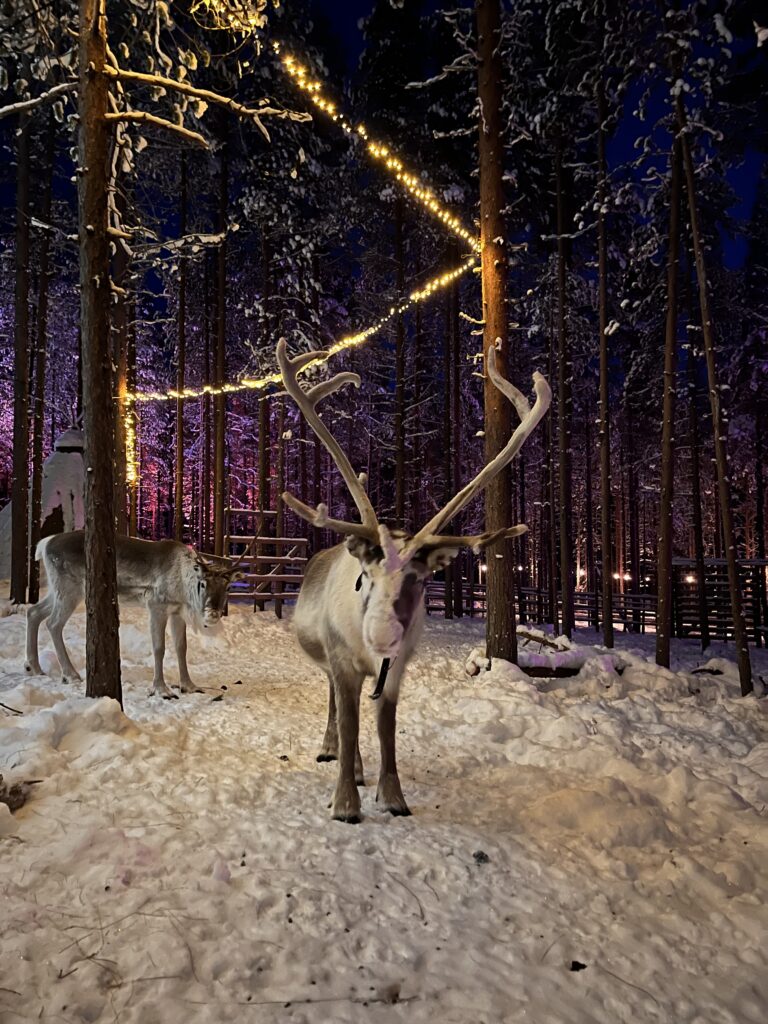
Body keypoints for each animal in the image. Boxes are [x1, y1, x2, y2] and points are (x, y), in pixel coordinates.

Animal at [25, 532, 243, 698]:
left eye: (228, 587)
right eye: (203, 583)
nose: (212, 614)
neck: (183, 590)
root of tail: (44, 544)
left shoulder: (177, 612)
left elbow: (181, 648)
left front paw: (189, 686)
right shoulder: (156, 605)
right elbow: (159, 648)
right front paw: (161, 689)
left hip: (57, 589)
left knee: (34, 612)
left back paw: (34, 667)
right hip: (69, 589)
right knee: (53, 623)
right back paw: (69, 674)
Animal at [276, 337, 551, 823]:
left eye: (422, 580)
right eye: (364, 578)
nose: (383, 635)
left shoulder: (398, 667)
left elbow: (386, 729)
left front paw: (392, 796)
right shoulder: (342, 659)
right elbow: (349, 723)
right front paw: (344, 803)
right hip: (325, 655)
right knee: (334, 704)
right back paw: (331, 750)